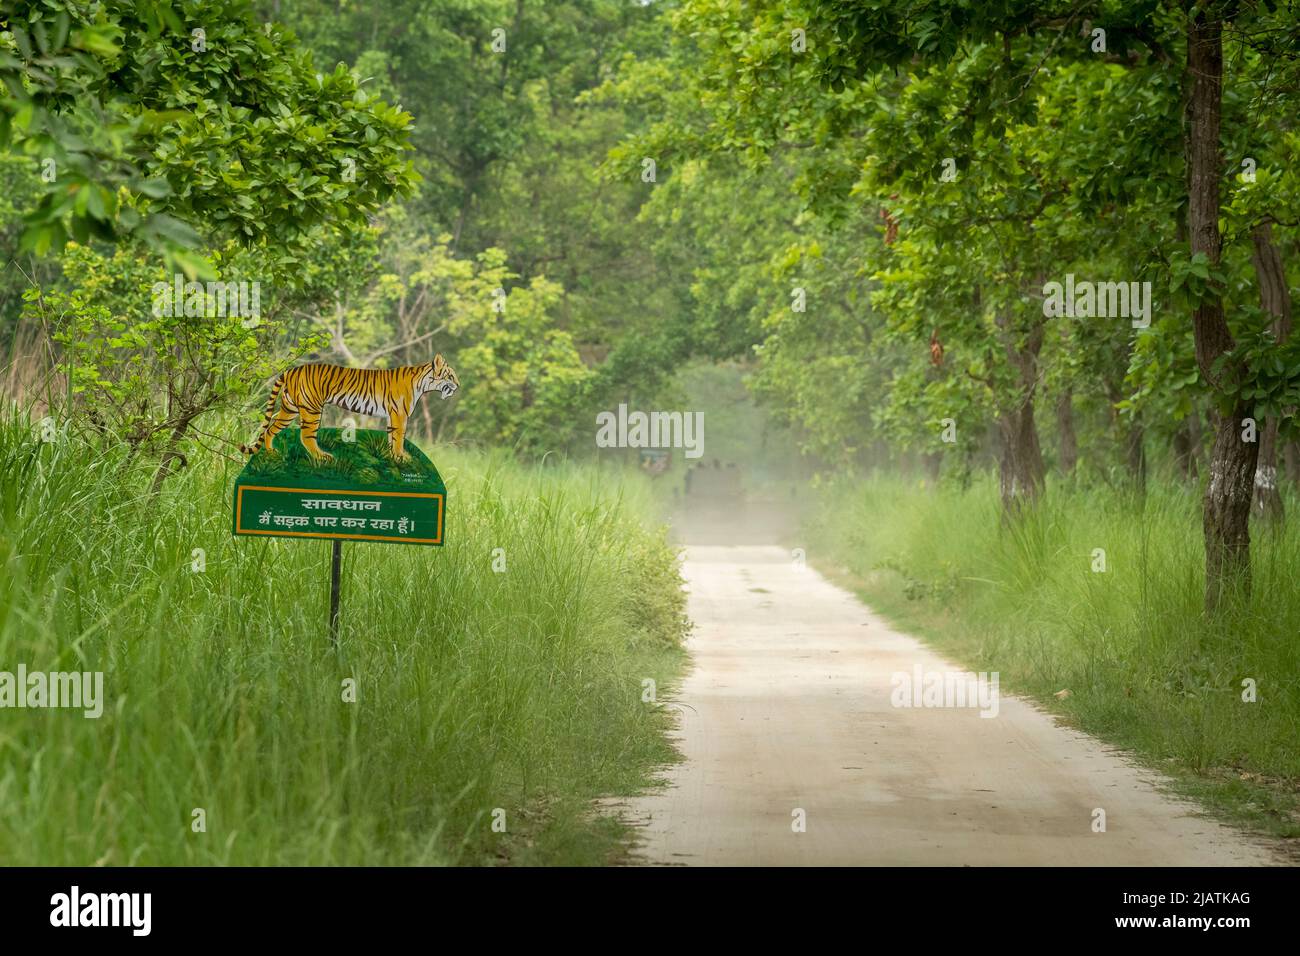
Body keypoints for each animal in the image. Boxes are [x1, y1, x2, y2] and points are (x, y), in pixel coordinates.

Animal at [240, 355, 460, 462]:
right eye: (450, 376)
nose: (458, 385)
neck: (422, 383)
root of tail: (292, 370)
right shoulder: (399, 414)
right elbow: (399, 436)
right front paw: (401, 456)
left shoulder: (393, 416)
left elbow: (392, 437)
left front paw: (393, 456)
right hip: (312, 409)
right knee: (306, 436)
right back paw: (322, 456)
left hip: (290, 409)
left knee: (271, 428)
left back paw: (271, 452)